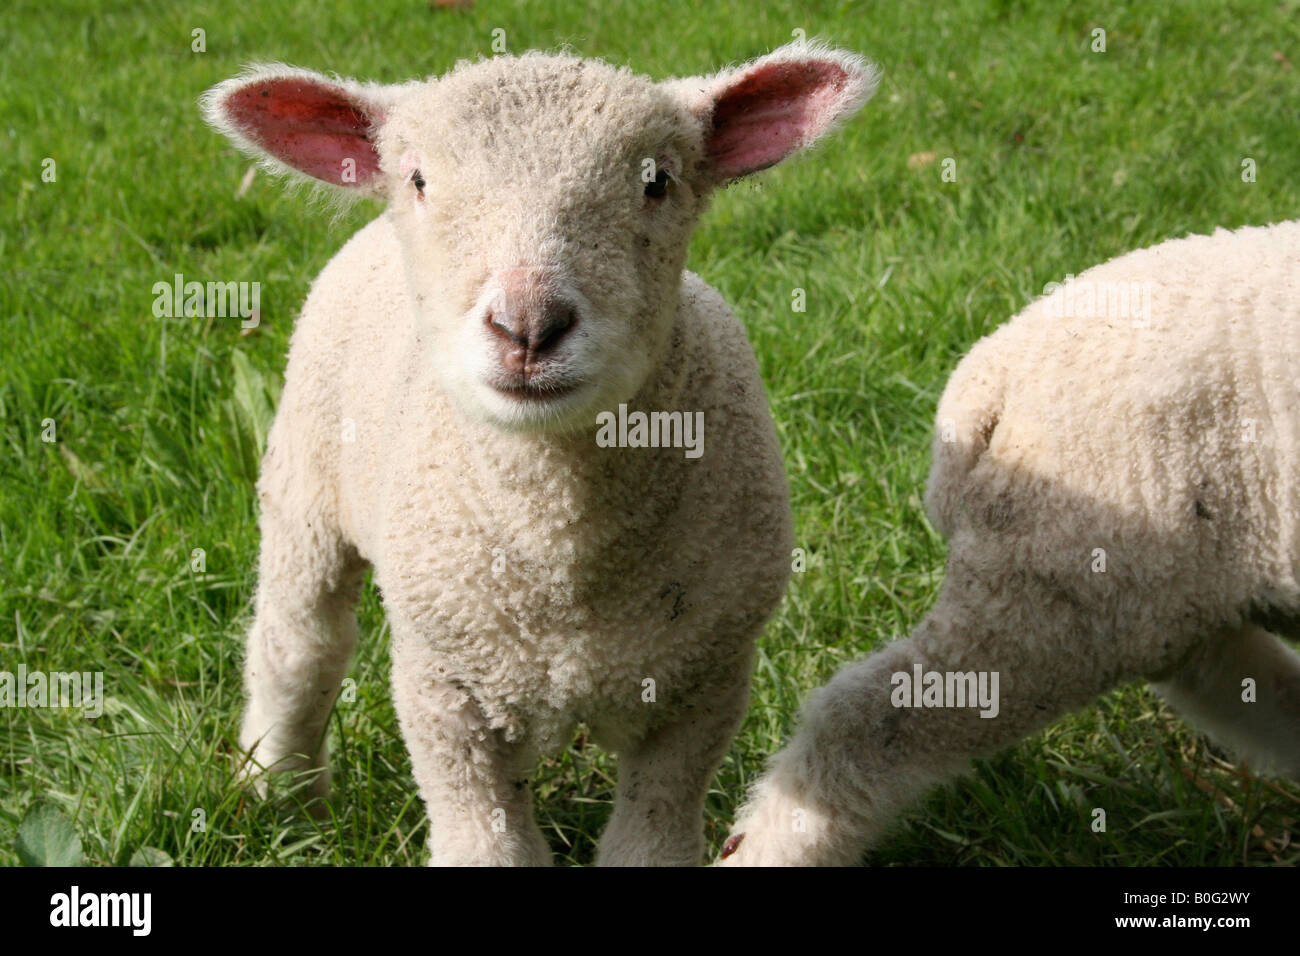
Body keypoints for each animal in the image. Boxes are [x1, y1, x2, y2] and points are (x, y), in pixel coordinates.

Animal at [201, 41, 878, 866]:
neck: (562, 556)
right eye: (419, 179)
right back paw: (280, 795)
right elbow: (485, 843)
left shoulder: (705, 683)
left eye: (656, 180)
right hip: (305, 485)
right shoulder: (441, 689)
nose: (528, 326)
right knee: (300, 647)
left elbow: (649, 840)